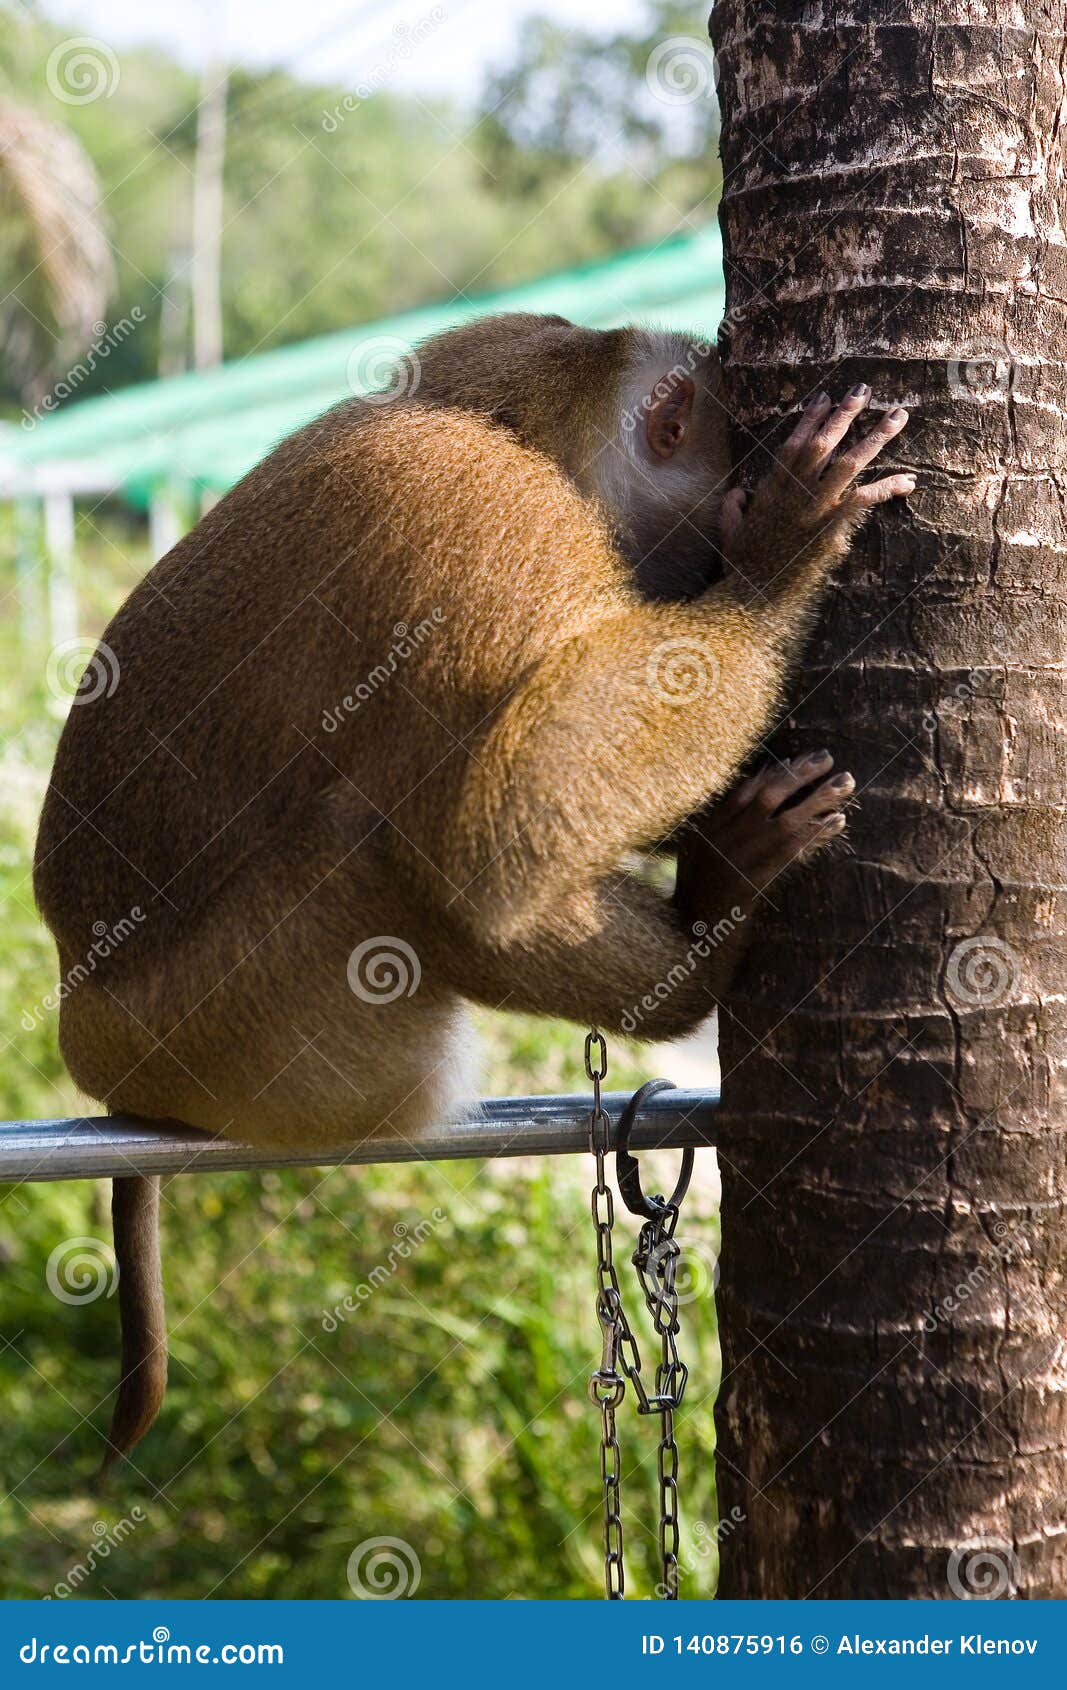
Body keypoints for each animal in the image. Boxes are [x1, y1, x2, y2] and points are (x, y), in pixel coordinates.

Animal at [32, 313, 913, 1469]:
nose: (720, 550)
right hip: (245, 1030)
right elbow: (513, 812)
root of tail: (86, 1027)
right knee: (410, 846)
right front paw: (777, 560)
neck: (534, 418)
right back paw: (704, 942)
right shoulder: (495, 514)